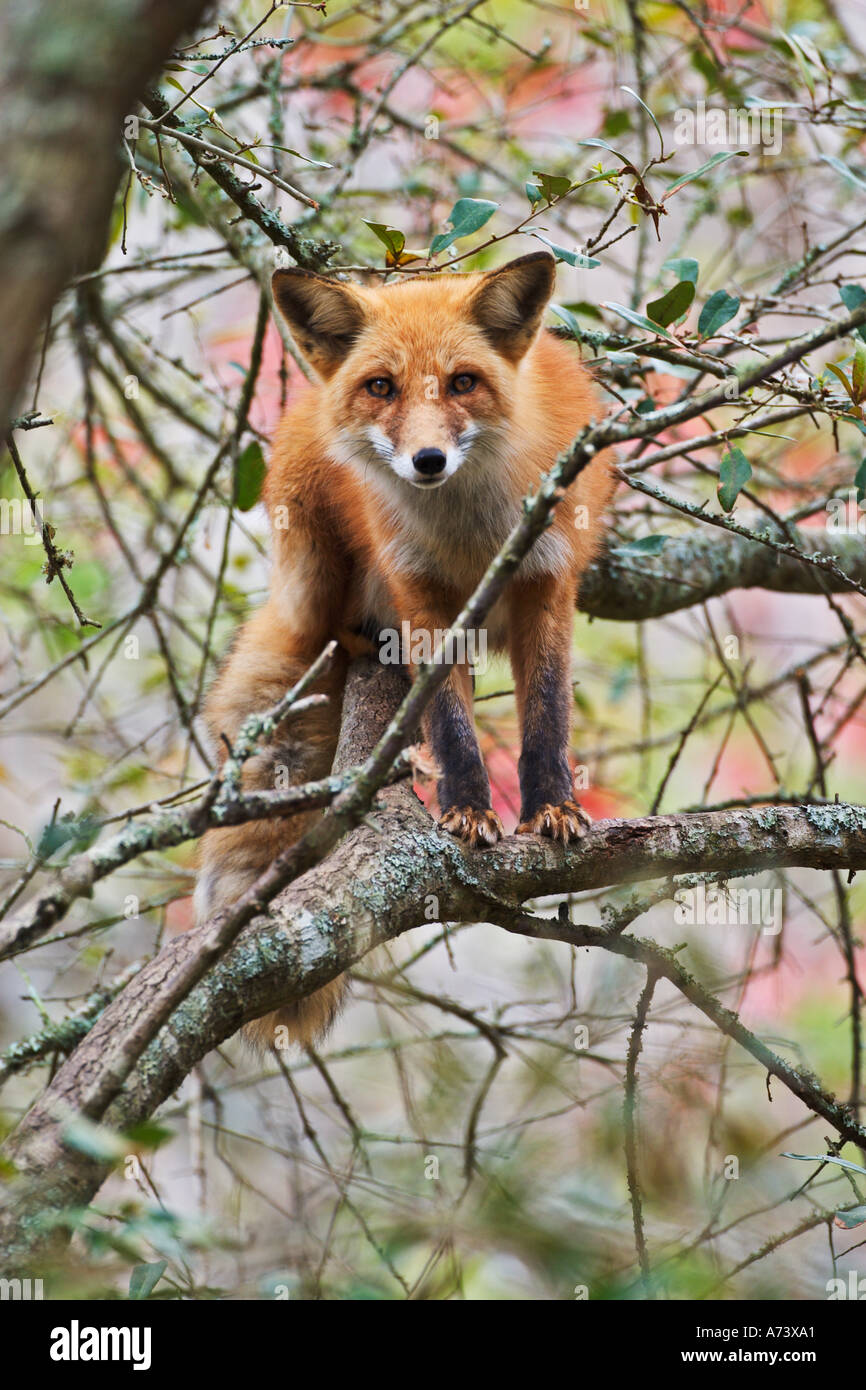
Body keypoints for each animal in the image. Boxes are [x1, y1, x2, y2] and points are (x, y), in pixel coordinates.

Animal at [196, 250, 616, 1050]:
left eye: (462, 382)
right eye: (382, 387)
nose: (427, 460)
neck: (471, 533)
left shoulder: (548, 582)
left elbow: (547, 713)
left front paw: (552, 806)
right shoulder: (418, 592)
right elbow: (449, 724)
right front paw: (466, 810)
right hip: (315, 565)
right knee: (329, 634)